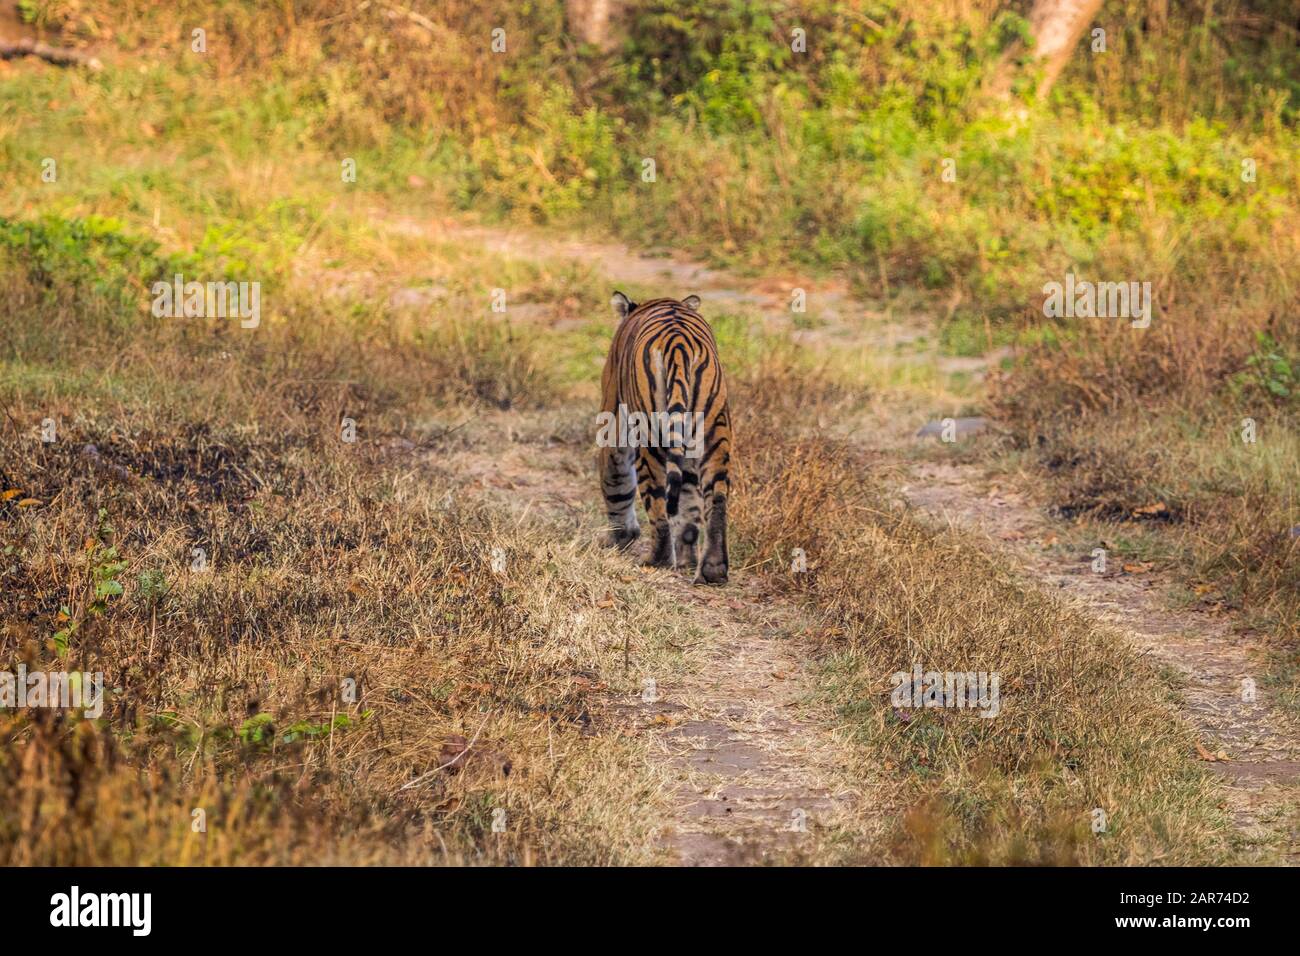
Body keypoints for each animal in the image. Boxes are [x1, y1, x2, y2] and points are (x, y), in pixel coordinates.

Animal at [596, 291, 732, 584]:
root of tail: (679, 344)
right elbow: (689, 506)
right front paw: (687, 557)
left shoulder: (613, 418)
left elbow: (616, 481)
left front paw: (619, 538)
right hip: (715, 430)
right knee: (715, 499)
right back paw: (712, 570)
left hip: (649, 436)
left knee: (657, 502)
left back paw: (655, 560)